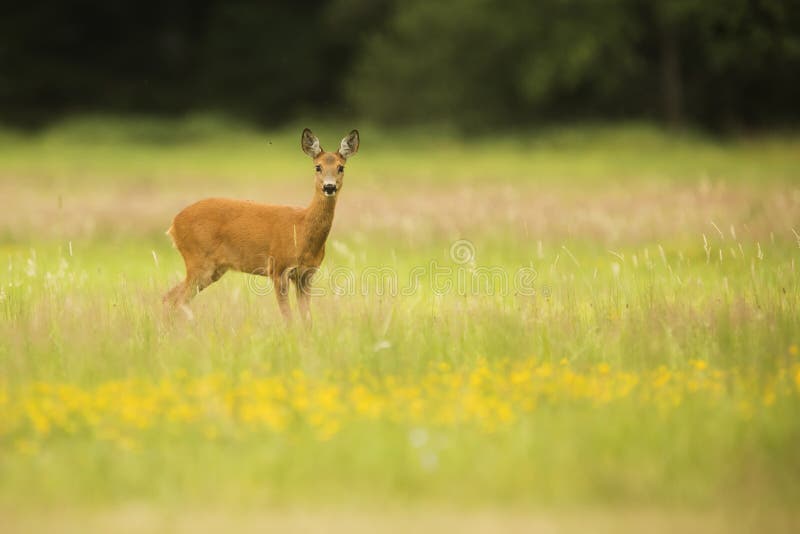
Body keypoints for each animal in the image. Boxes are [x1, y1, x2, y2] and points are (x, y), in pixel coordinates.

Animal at [163, 128, 359, 324]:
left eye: (341, 167)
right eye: (318, 167)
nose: (329, 187)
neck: (301, 229)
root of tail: (173, 225)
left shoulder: (306, 275)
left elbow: (307, 319)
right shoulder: (278, 268)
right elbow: (288, 319)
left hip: (213, 269)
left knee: (170, 296)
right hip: (198, 261)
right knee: (175, 299)